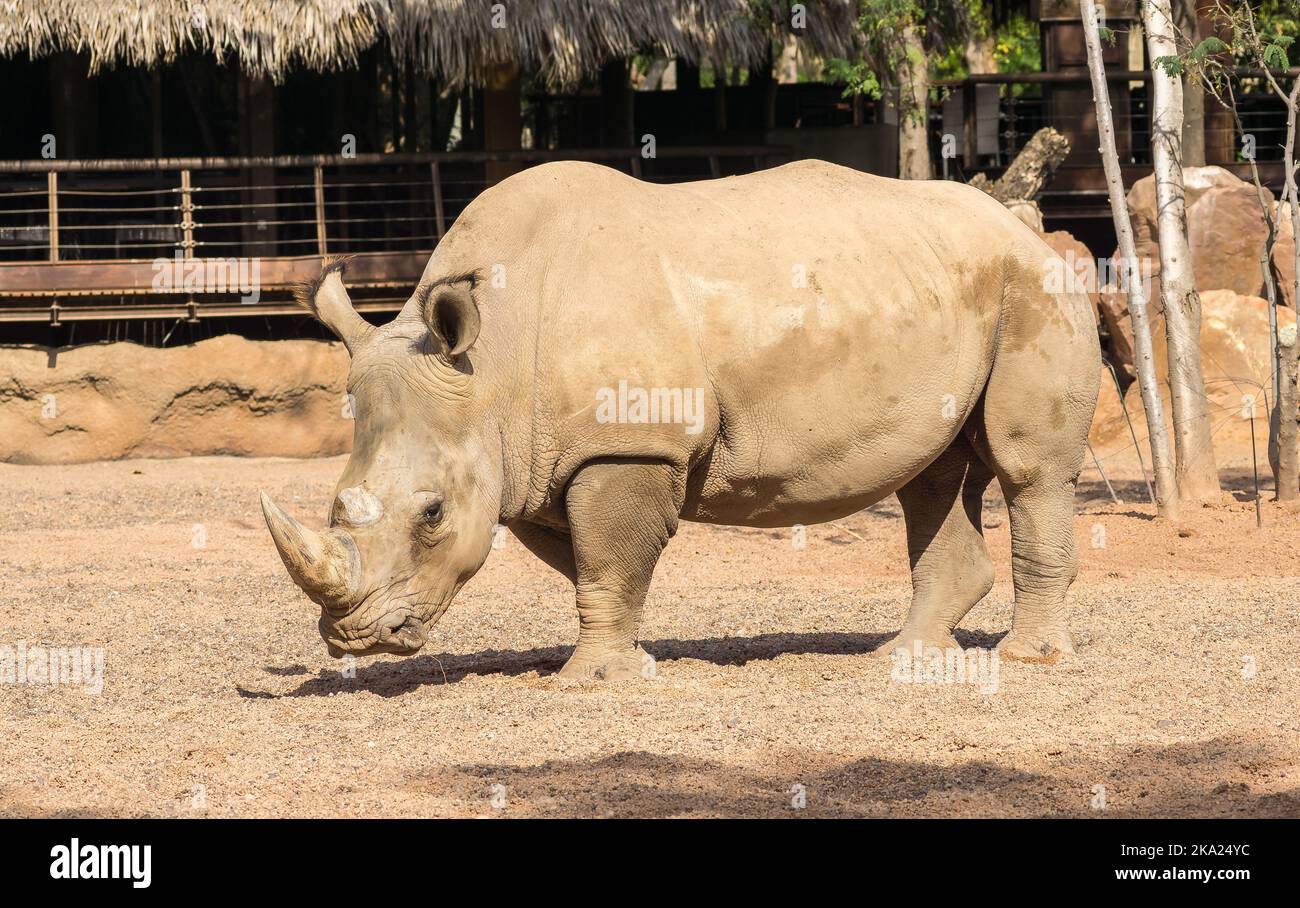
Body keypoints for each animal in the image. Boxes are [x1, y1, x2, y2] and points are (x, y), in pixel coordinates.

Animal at [261, 160, 1100, 680]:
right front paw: (627, 658)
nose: (357, 638)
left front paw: (593, 679)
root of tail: (1021, 223)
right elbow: (594, 566)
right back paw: (903, 657)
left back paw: (1026, 661)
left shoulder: (627, 445)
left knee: (1028, 472)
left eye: (432, 515)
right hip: (943, 288)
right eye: (335, 502)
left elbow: (608, 561)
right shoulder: (540, 459)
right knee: (930, 478)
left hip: (1034, 284)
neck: (489, 368)